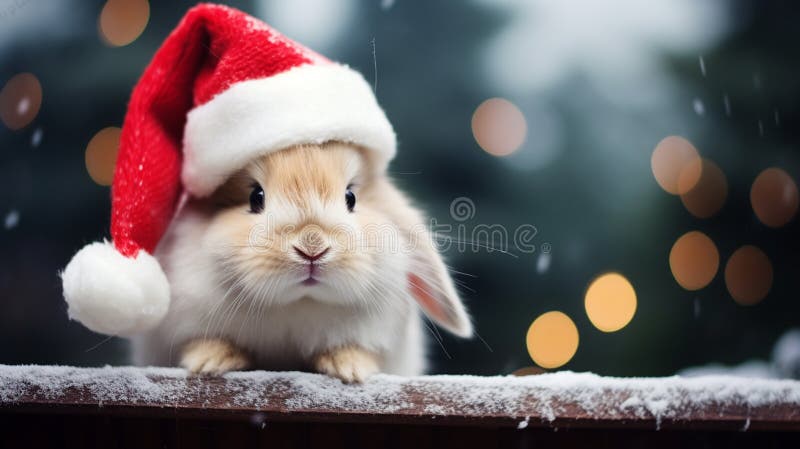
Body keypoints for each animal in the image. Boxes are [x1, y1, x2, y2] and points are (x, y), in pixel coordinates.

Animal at [130, 142, 472, 383]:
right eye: (256, 197)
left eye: (351, 198)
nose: (312, 247)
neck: (298, 304)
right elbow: (205, 342)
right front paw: (209, 362)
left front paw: (349, 368)